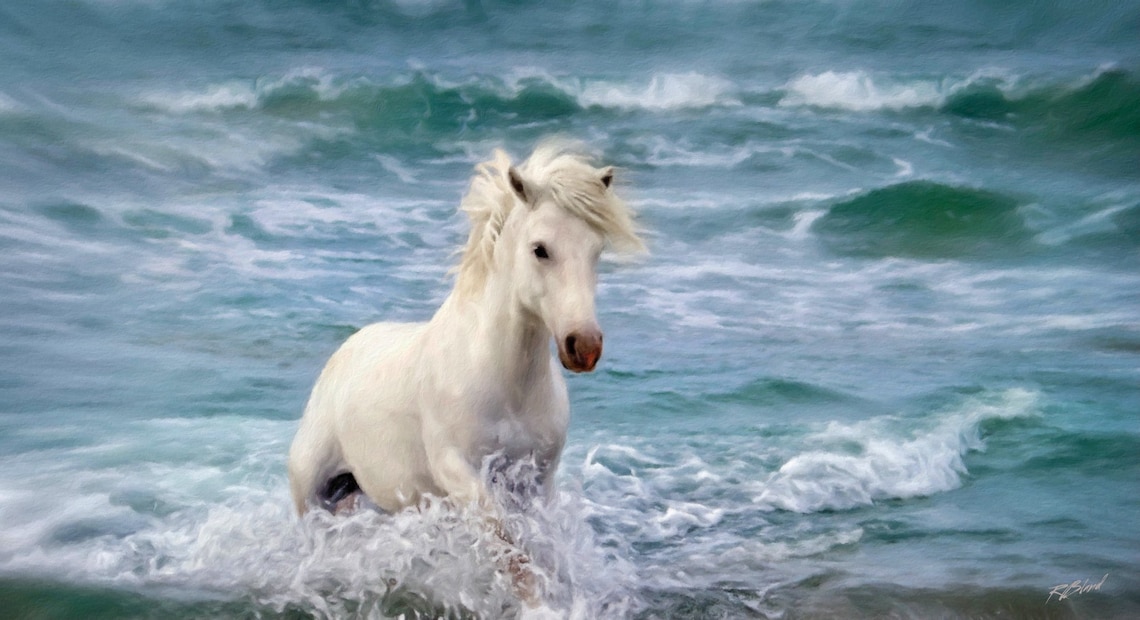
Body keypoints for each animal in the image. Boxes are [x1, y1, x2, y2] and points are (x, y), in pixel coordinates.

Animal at [287, 140, 644, 603]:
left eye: (597, 250)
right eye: (540, 248)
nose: (584, 346)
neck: (504, 383)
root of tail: (345, 352)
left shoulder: (536, 479)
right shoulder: (456, 469)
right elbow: (505, 542)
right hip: (310, 491)